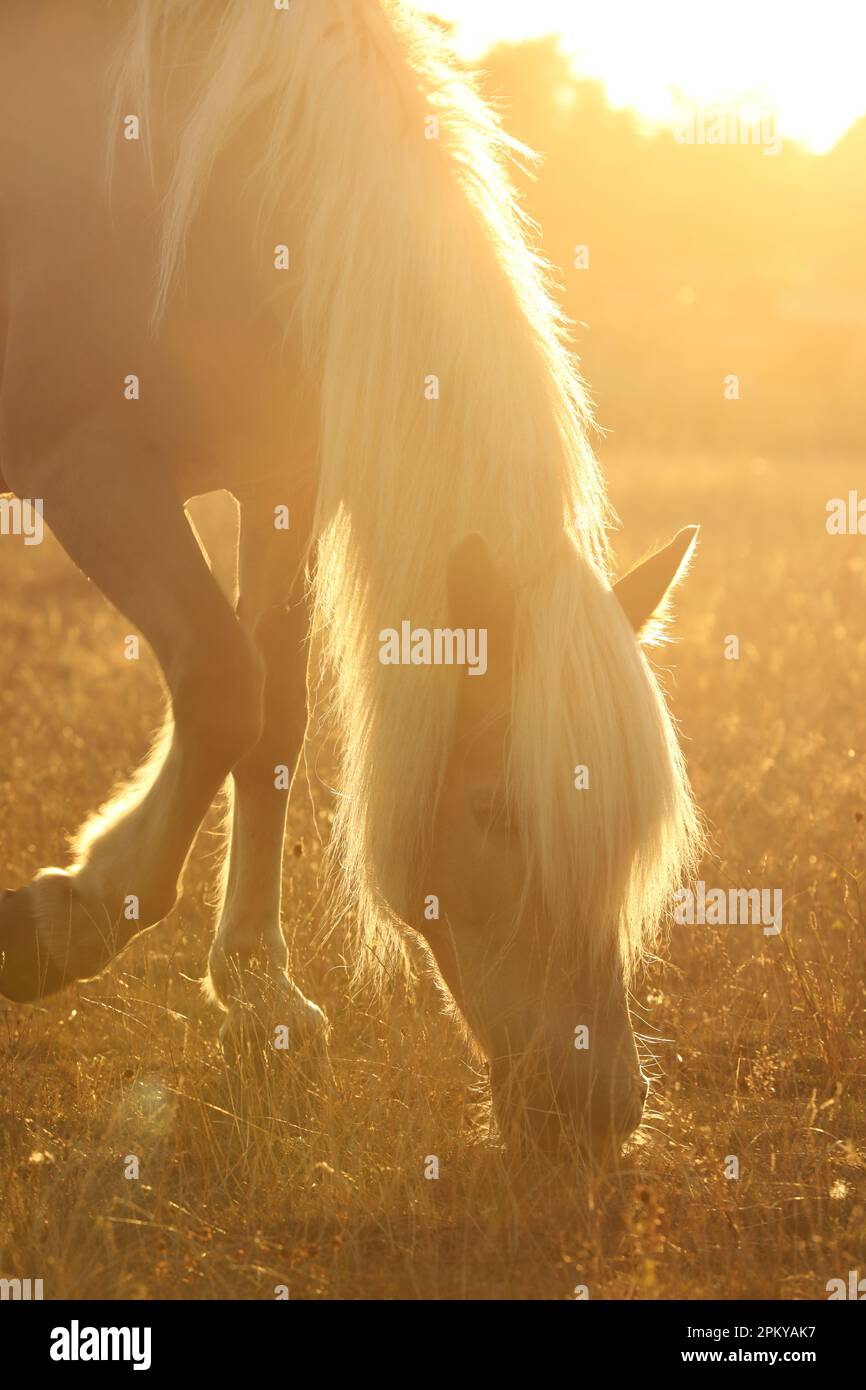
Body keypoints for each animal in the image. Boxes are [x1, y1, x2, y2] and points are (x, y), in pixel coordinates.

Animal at [0, 0, 700, 1157]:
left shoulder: (277, 485)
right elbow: (222, 688)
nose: (601, 1114)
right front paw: (68, 917)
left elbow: (271, 722)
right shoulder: (91, 473)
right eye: (496, 810)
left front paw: (256, 987)